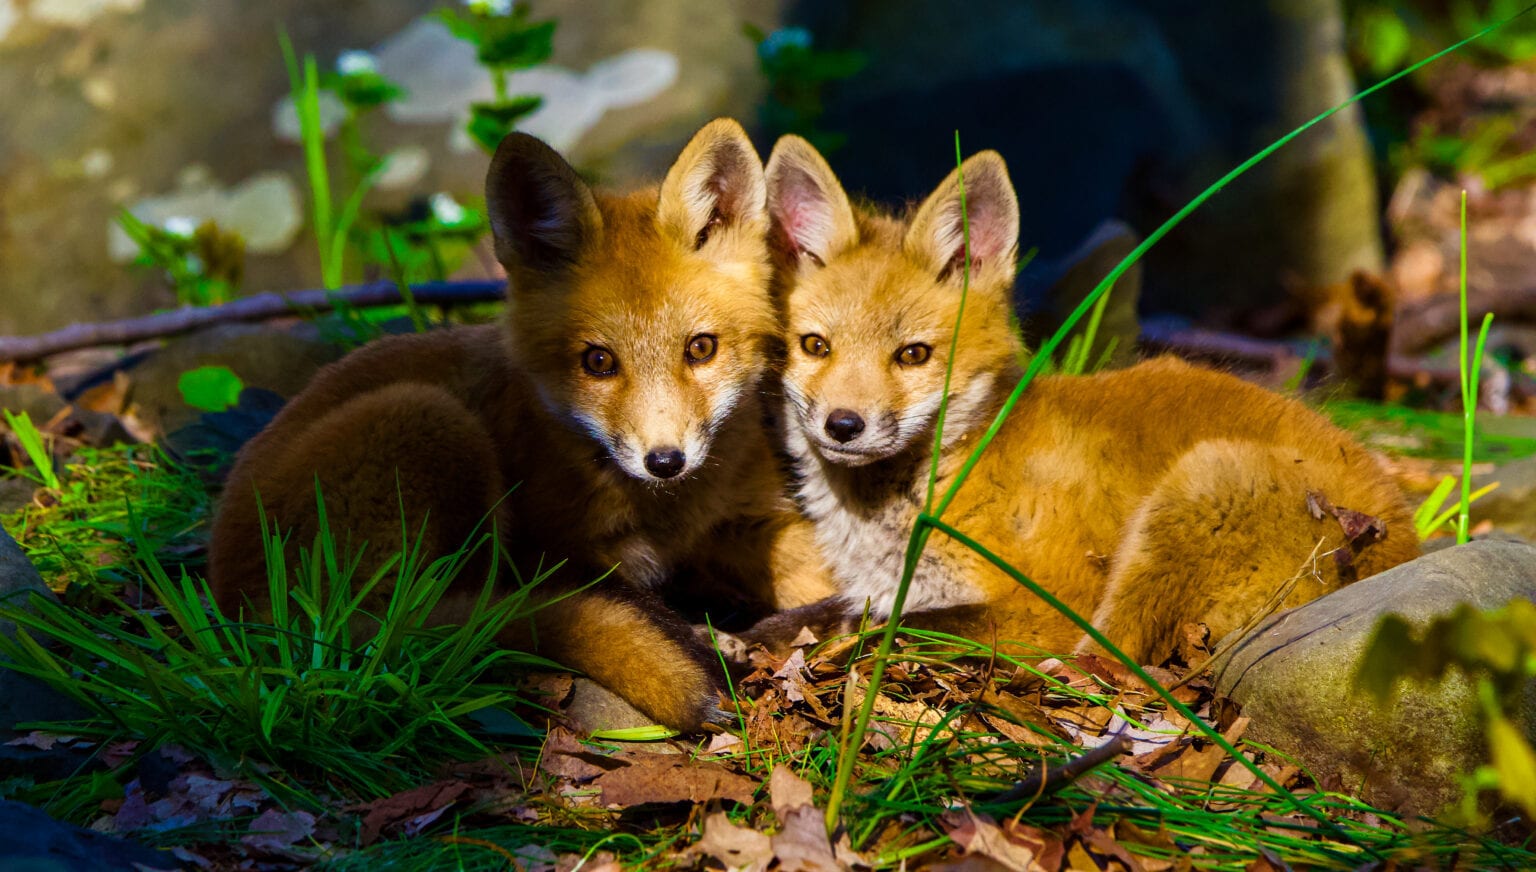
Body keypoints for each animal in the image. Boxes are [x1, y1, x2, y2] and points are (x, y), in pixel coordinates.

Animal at [207, 119, 834, 731]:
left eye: (701, 348)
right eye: (598, 361)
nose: (665, 461)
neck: (671, 514)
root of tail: (239, 612)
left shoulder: (748, 521)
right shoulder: (553, 551)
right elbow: (629, 603)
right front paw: (707, 640)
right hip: (430, 421)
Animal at [749, 134, 1420, 665]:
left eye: (913, 354)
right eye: (815, 346)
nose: (843, 426)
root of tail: (1403, 536)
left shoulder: (1045, 599)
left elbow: (893, 629)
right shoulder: (880, 587)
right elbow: (827, 613)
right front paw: (748, 639)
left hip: (1195, 489)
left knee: (1110, 661)